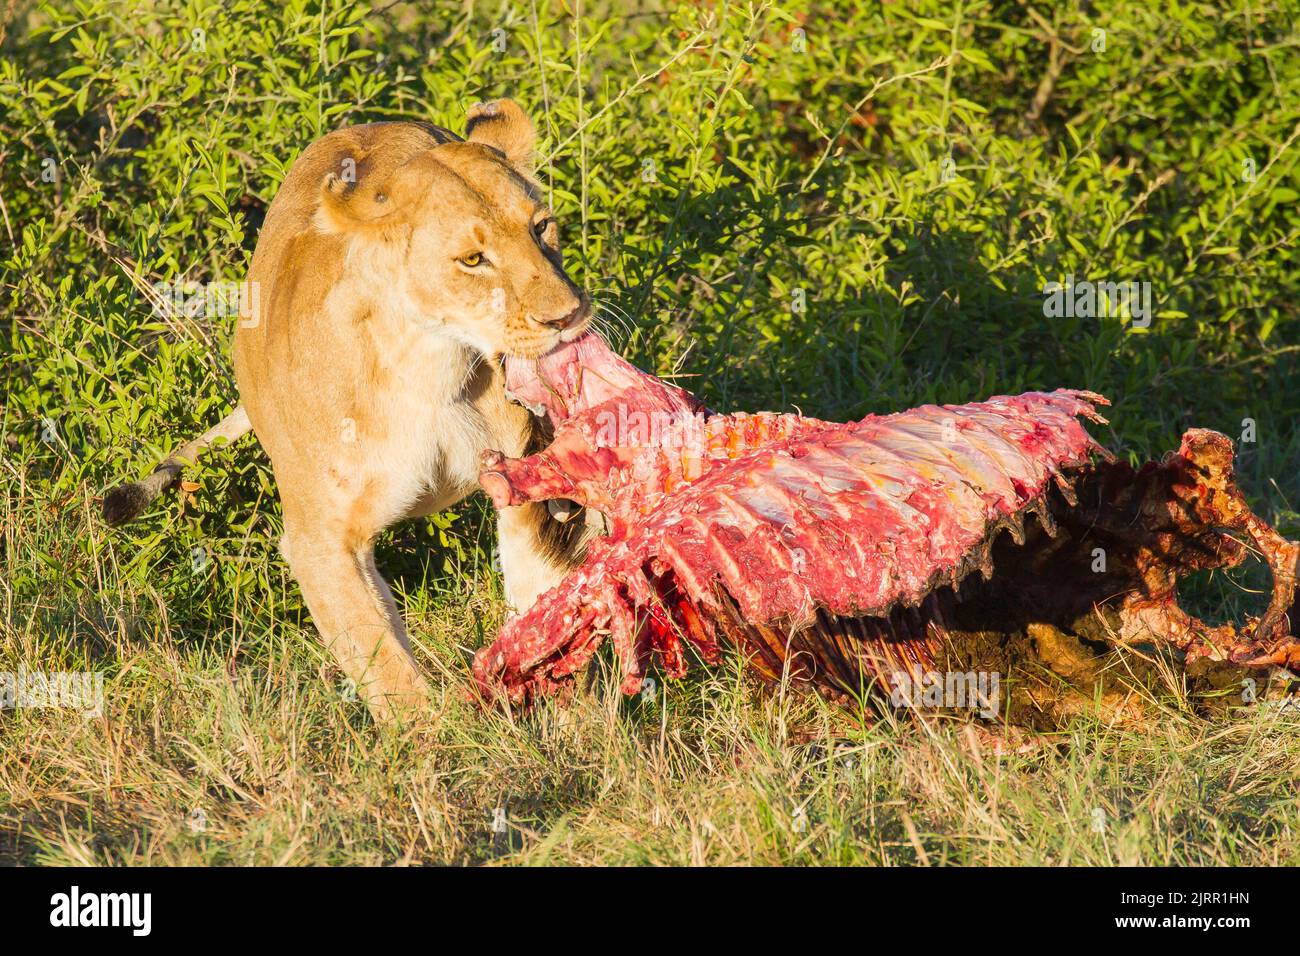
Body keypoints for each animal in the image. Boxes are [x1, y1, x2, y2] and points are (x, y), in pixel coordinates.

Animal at [103, 100, 595, 723]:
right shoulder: (323, 540)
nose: (568, 315)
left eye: (541, 227)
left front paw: (559, 710)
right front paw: (437, 742)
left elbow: (541, 588)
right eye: (472, 259)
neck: (431, 366)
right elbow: (385, 664)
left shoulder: (525, 483)